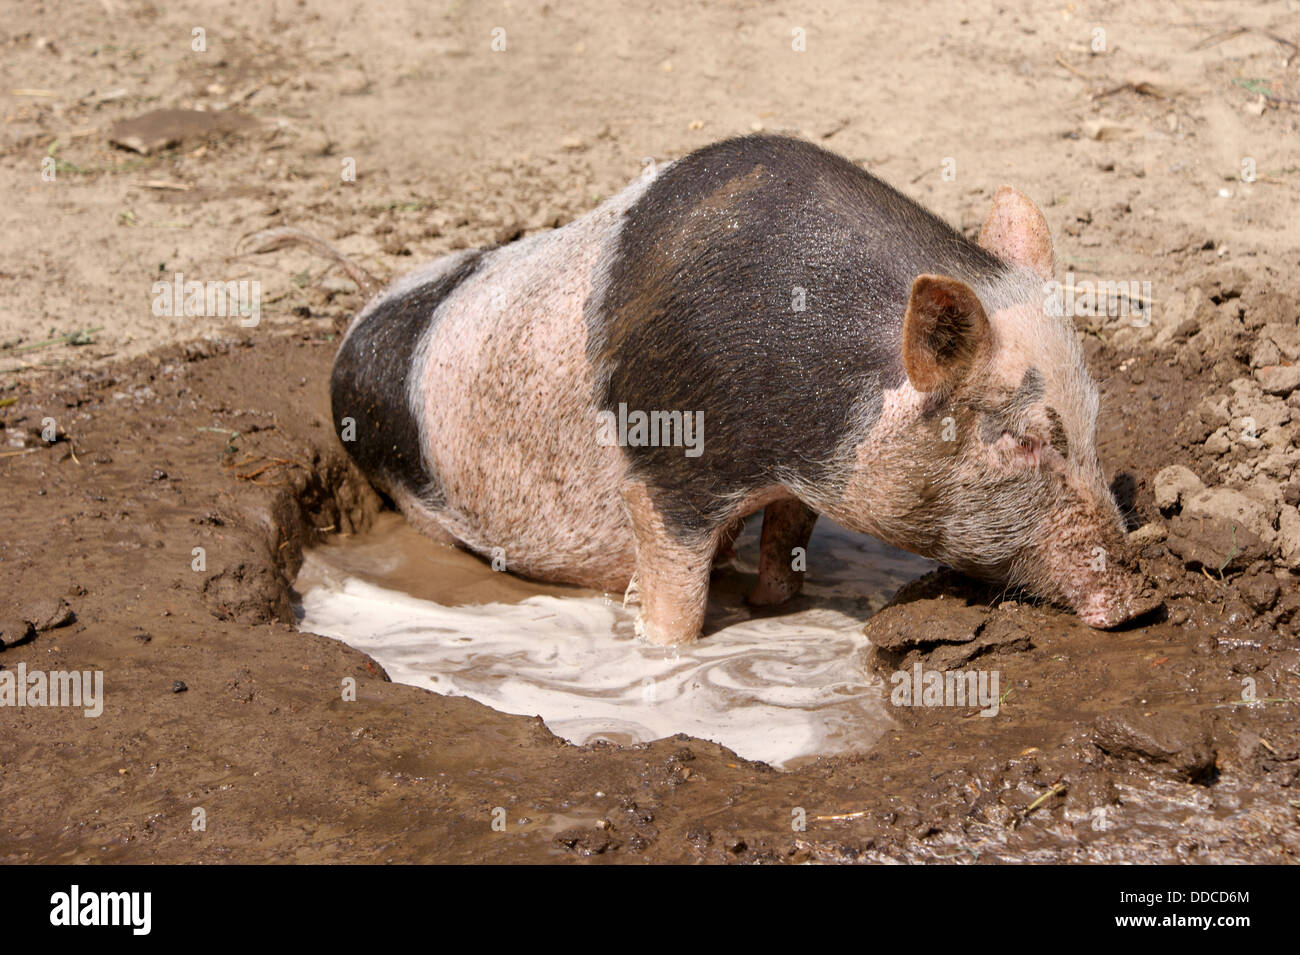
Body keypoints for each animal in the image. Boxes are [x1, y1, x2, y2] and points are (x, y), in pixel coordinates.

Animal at [321, 134, 1150, 645]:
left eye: (1093, 418)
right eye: (1024, 438)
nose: (1145, 599)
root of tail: (346, 335)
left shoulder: (801, 477)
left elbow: (785, 541)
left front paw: (771, 605)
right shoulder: (668, 477)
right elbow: (676, 599)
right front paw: (662, 645)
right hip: (414, 495)